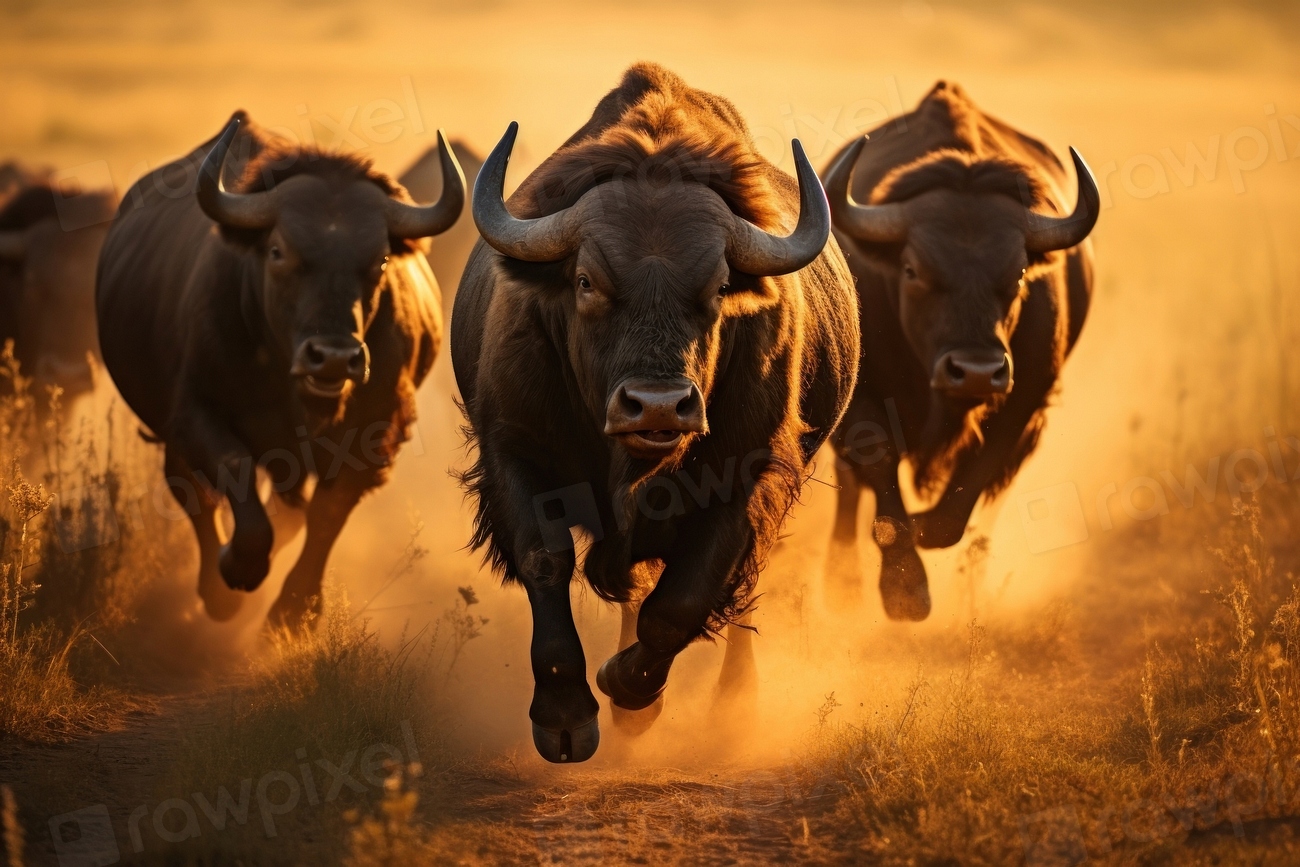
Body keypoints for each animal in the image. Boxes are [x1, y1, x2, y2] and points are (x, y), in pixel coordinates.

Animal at [96, 111, 464, 624]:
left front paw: (294, 610)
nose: (333, 356)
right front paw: (235, 575)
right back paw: (215, 590)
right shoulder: (196, 416)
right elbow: (238, 487)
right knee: (193, 494)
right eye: (277, 251)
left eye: (380, 260)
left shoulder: (375, 434)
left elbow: (325, 514)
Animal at [453, 63, 859, 763]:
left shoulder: (744, 475)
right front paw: (565, 720)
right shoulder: (514, 451)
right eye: (586, 281)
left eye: (719, 286)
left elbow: (684, 600)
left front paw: (629, 694)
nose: (658, 406)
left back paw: (730, 703)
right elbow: (545, 560)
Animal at [820, 81, 1099, 620]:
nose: (974, 372)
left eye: (1017, 273)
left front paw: (925, 533)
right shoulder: (860, 401)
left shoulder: (1025, 400)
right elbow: (877, 463)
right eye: (912, 270)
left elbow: (965, 495)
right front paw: (904, 589)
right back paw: (841, 578)